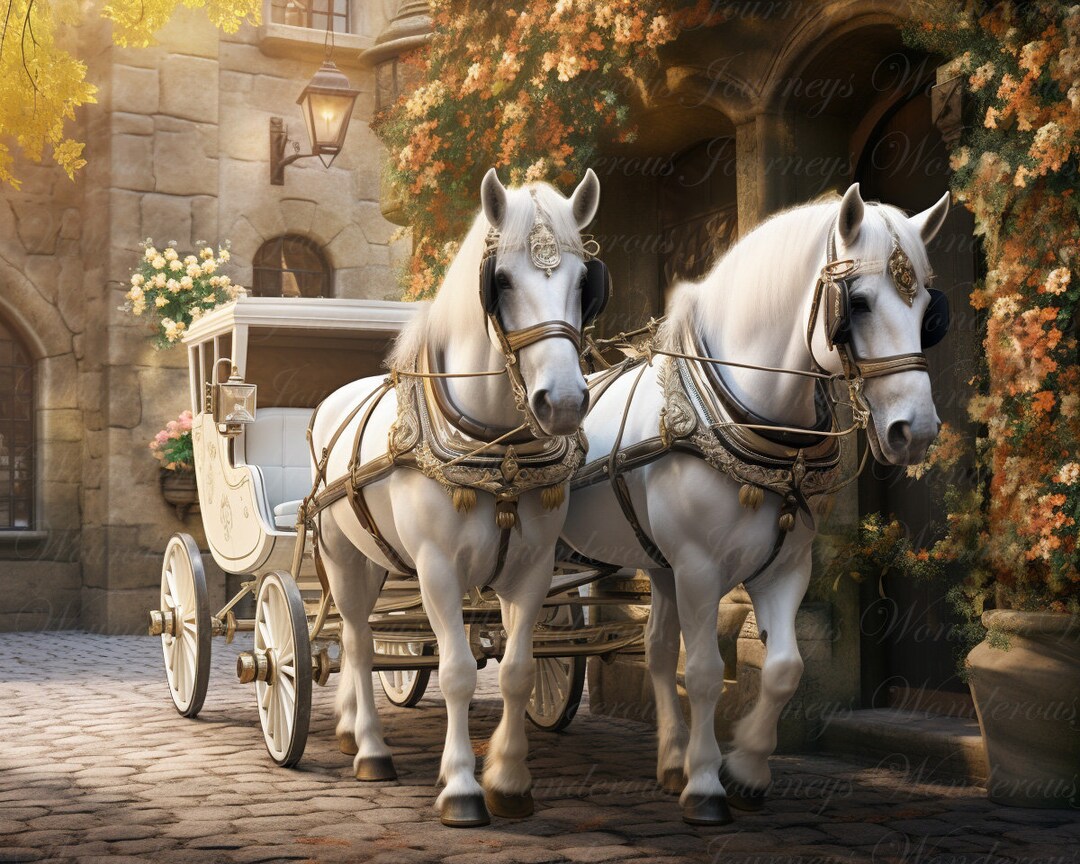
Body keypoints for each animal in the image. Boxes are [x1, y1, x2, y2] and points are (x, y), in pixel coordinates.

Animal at [307, 168, 603, 827]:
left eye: (585, 283)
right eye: (502, 282)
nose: (564, 402)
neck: (502, 450)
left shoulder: (533, 569)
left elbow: (517, 671)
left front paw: (510, 782)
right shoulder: (436, 569)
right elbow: (458, 672)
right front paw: (462, 787)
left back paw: (349, 729)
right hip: (342, 556)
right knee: (358, 643)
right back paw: (369, 748)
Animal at [560, 183, 951, 825]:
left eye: (928, 313)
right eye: (858, 304)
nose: (914, 431)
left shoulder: (785, 566)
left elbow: (785, 668)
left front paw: (745, 768)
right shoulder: (698, 567)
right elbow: (705, 671)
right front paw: (705, 785)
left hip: (657, 564)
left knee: (657, 652)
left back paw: (670, 757)